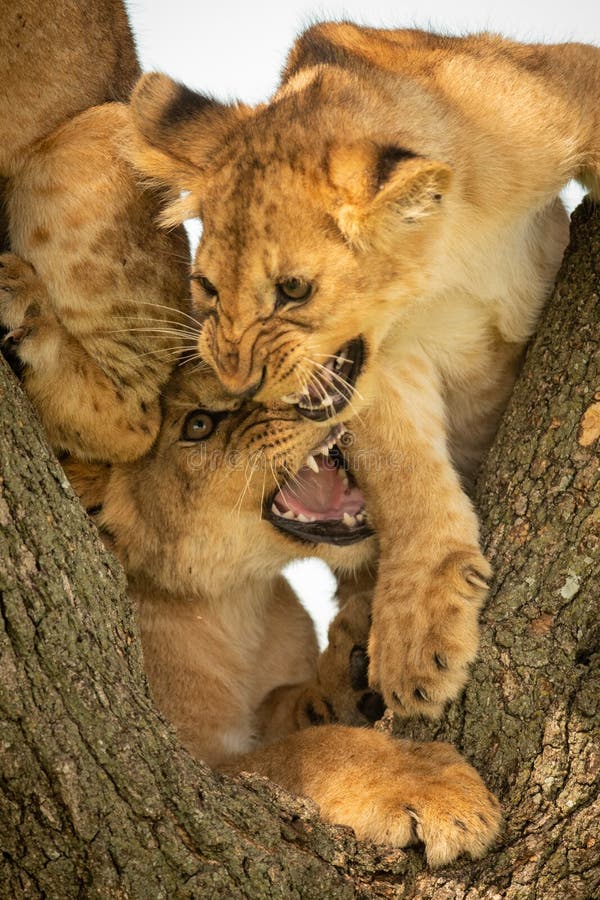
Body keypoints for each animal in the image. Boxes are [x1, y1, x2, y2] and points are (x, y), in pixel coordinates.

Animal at [127, 23, 600, 716]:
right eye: (207, 288)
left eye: (293, 289)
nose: (237, 386)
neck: (440, 259)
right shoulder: (382, 372)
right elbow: (405, 476)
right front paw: (417, 631)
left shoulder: (550, 94)